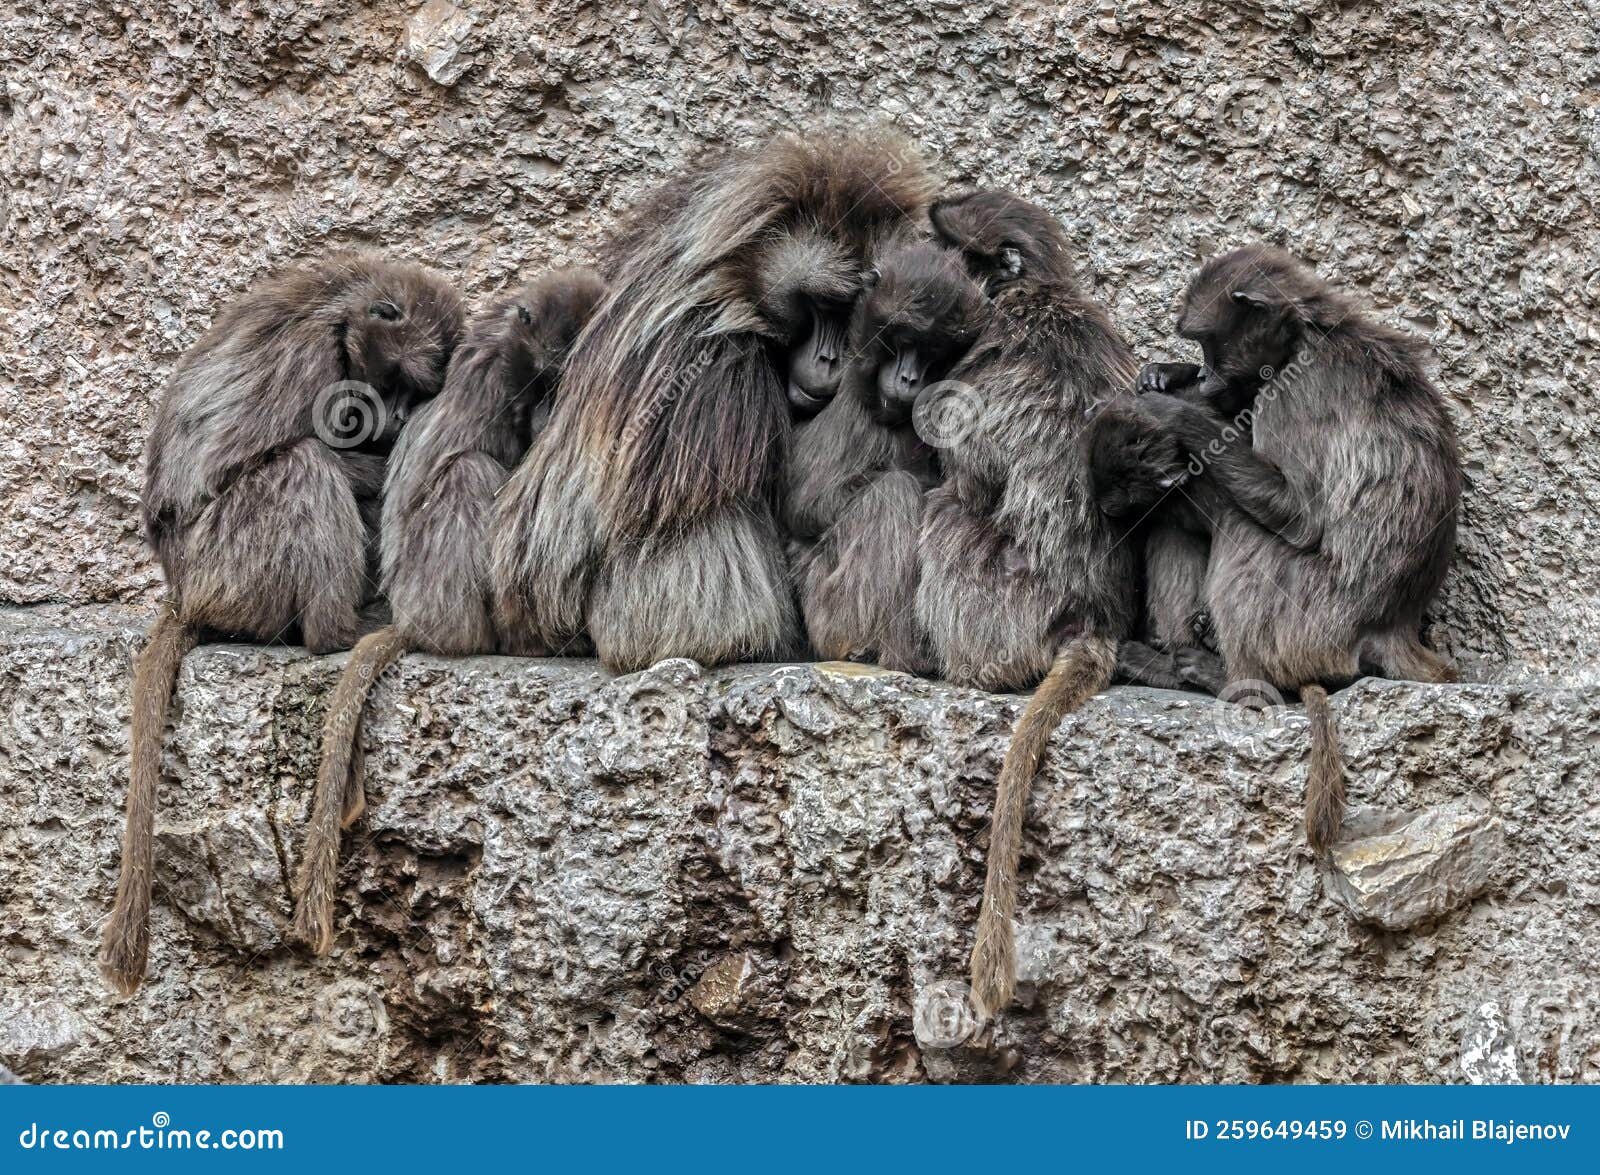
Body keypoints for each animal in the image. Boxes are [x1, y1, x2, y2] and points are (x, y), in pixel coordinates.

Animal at [99, 254, 464, 995]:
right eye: (393, 384)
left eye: (416, 393)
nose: (396, 418)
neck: (342, 311)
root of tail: (187, 593)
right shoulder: (309, 363)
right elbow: (237, 461)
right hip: (235, 564)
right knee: (301, 466)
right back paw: (336, 630)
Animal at [289, 268, 605, 956]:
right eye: (557, 369)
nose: (560, 395)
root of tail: (411, 613)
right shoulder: (496, 379)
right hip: (437, 587)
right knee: (471, 472)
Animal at [782, 236, 987, 673]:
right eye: (906, 342)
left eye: (933, 350)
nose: (909, 378)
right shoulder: (855, 409)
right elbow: (808, 507)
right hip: (828, 613)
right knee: (892, 494)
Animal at [911, 191, 1141, 1018]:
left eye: (955, 245)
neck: (1038, 288)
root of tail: (1089, 621)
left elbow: (970, 468)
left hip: (988, 604)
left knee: (947, 512)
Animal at [1129, 244, 1461, 855]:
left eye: (1208, 341)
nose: (1203, 373)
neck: (1312, 332)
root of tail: (1391, 626)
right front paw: (1165, 375)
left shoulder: (1294, 394)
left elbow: (1302, 514)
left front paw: (1179, 411)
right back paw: (1169, 663)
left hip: (1307, 620)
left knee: (1236, 524)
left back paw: (1227, 680)